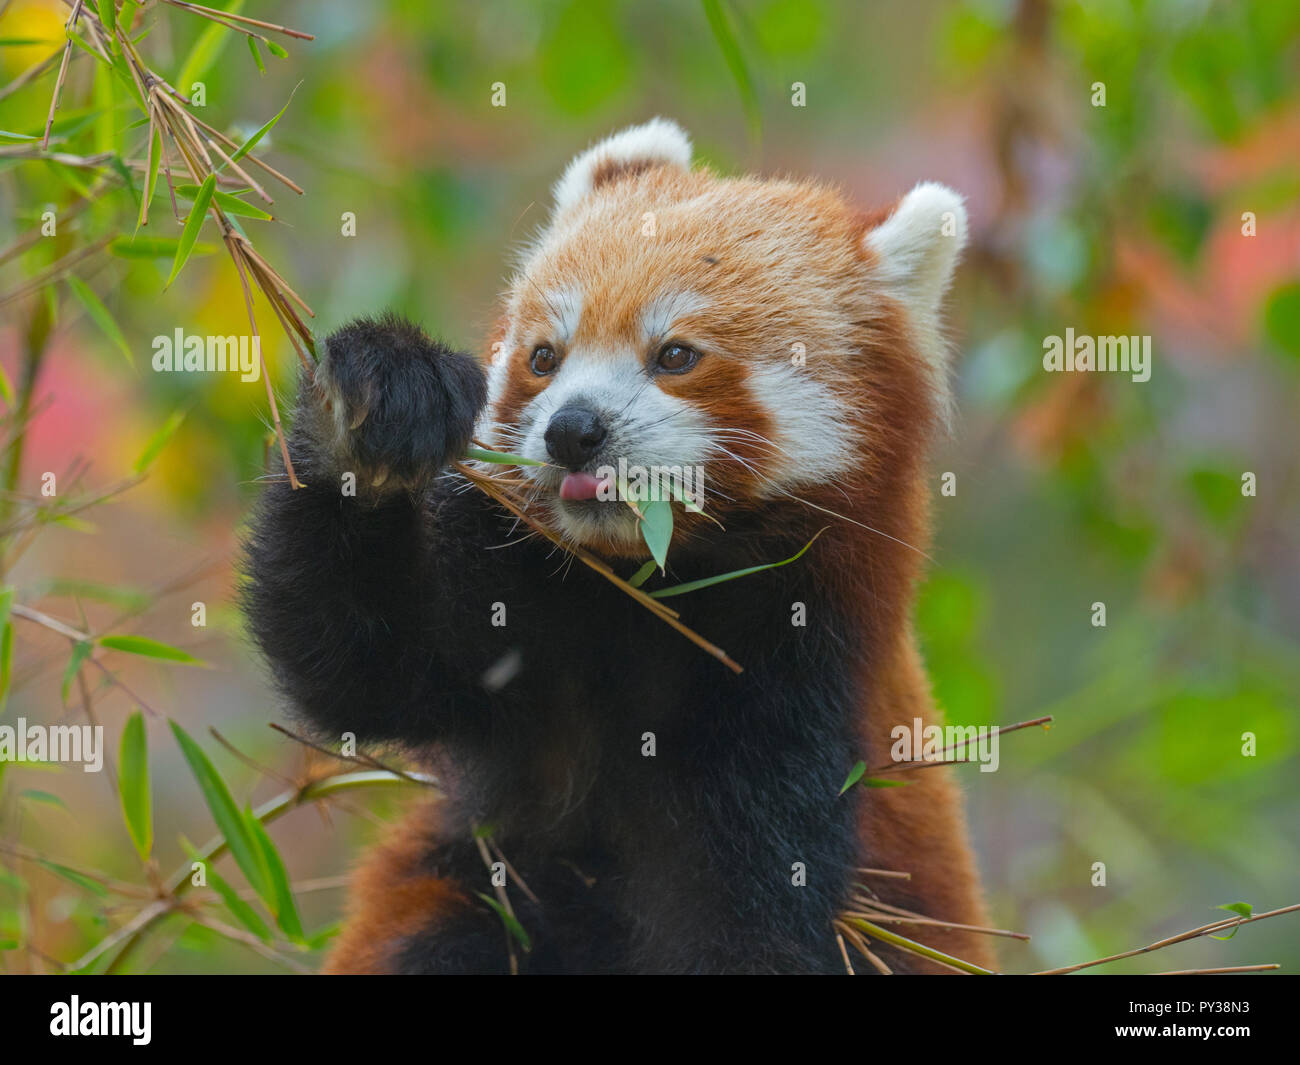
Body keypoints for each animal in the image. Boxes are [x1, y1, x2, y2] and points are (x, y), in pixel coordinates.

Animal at [244, 118, 995, 974]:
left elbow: (751, 922)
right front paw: (378, 401)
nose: (572, 430)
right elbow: (360, 659)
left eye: (675, 355)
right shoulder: (524, 620)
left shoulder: (800, 693)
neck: (648, 596)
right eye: (544, 357)